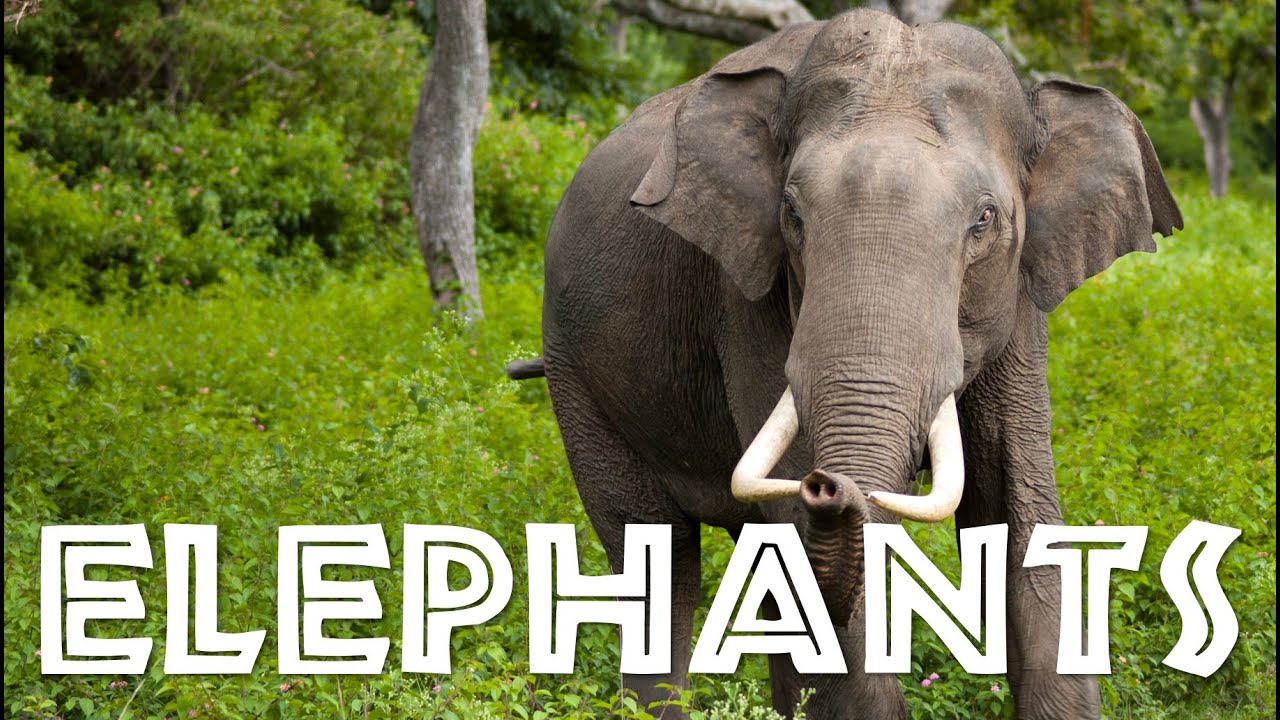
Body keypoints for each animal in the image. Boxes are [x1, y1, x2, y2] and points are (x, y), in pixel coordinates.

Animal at [509, 8, 1182, 719]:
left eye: (985, 219)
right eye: (791, 213)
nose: (828, 486)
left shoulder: (1022, 300)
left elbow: (1016, 514)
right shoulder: (746, 297)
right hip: (574, 371)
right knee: (655, 551)